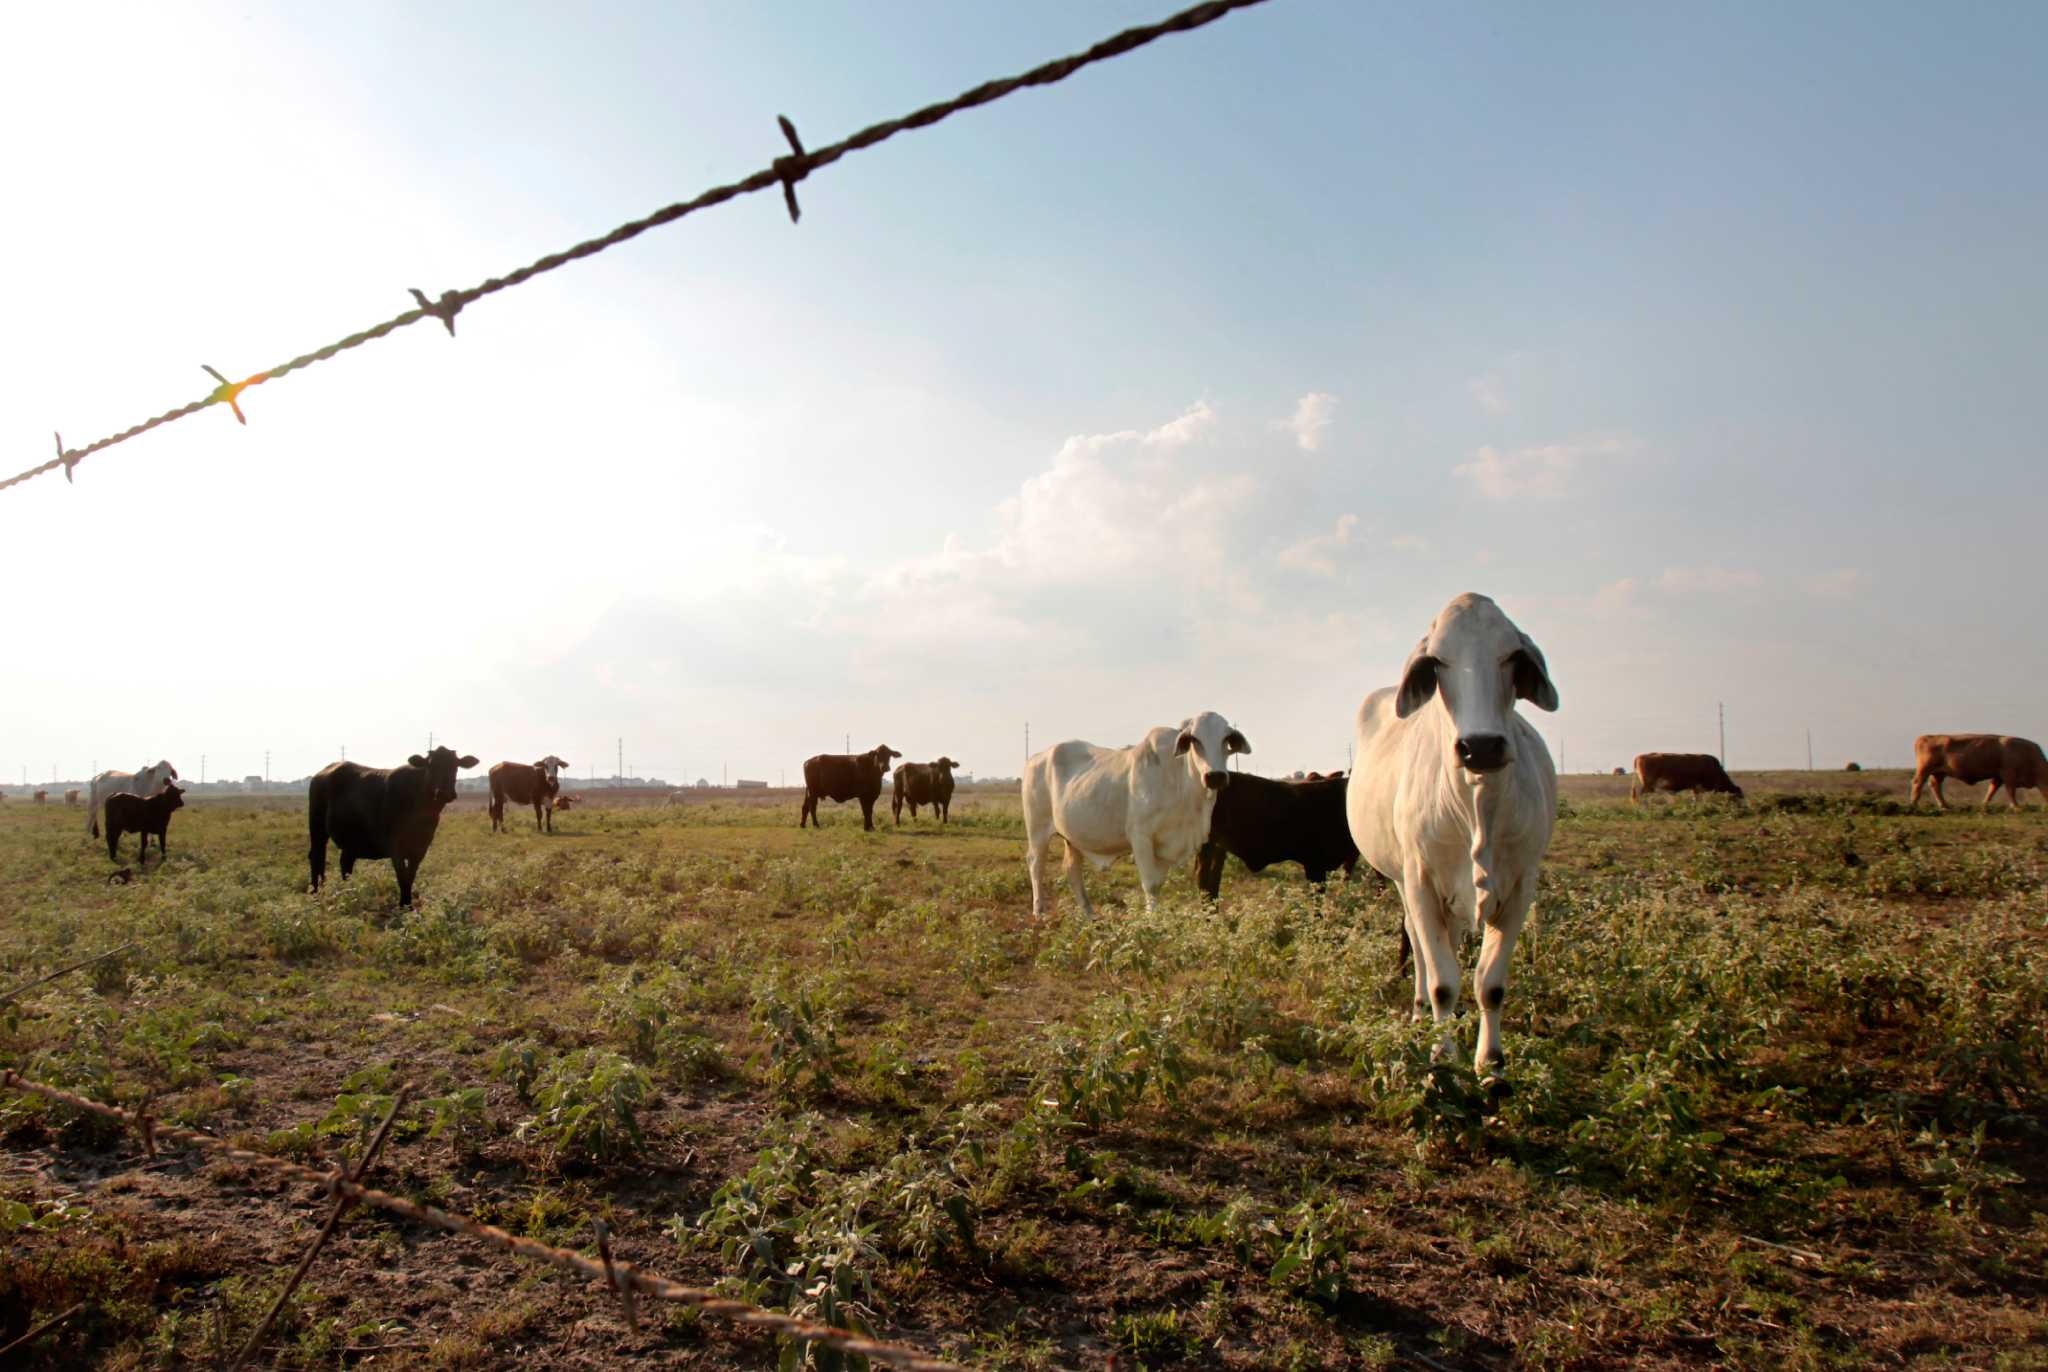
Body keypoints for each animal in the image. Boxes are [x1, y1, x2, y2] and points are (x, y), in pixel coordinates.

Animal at [308, 746, 479, 908]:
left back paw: (348, 892)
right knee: (317, 857)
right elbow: (402, 875)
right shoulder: (395, 847)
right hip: (317, 828)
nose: (444, 793)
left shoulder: (420, 847)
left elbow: (410, 875)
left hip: (351, 841)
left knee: (345, 863)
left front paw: (408, 904)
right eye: (431, 765)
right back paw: (316, 894)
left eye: (455, 766)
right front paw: (404, 905)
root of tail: (320, 774)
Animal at [1023, 711, 1250, 918]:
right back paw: (1039, 911)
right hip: (1037, 829)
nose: (1215, 776)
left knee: (1072, 870)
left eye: (1226, 739)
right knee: (1036, 864)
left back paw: (1089, 914)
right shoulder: (1141, 837)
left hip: (1072, 837)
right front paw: (1151, 920)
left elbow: (1159, 883)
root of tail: (1035, 758)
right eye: (1194, 740)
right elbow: (1151, 884)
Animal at [1347, 592, 1559, 1079]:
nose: (1480, 746)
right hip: (1402, 879)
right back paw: (1420, 1009)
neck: (1475, 808)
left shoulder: (1520, 887)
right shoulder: (1421, 881)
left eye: (1510, 656)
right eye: (1438, 661)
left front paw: (1492, 1065)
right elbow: (1443, 981)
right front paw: (1441, 1058)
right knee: (1419, 944)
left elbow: (1491, 984)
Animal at [1910, 734, 2048, 810]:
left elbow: (1991, 790)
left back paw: (1945, 806)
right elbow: (2010, 791)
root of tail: (1927, 736)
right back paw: (1914, 804)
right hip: (1924, 770)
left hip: (1938, 773)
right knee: (1918, 783)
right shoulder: (2009, 774)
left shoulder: (1998, 777)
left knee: (1935, 786)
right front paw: (2016, 806)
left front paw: (1984, 805)